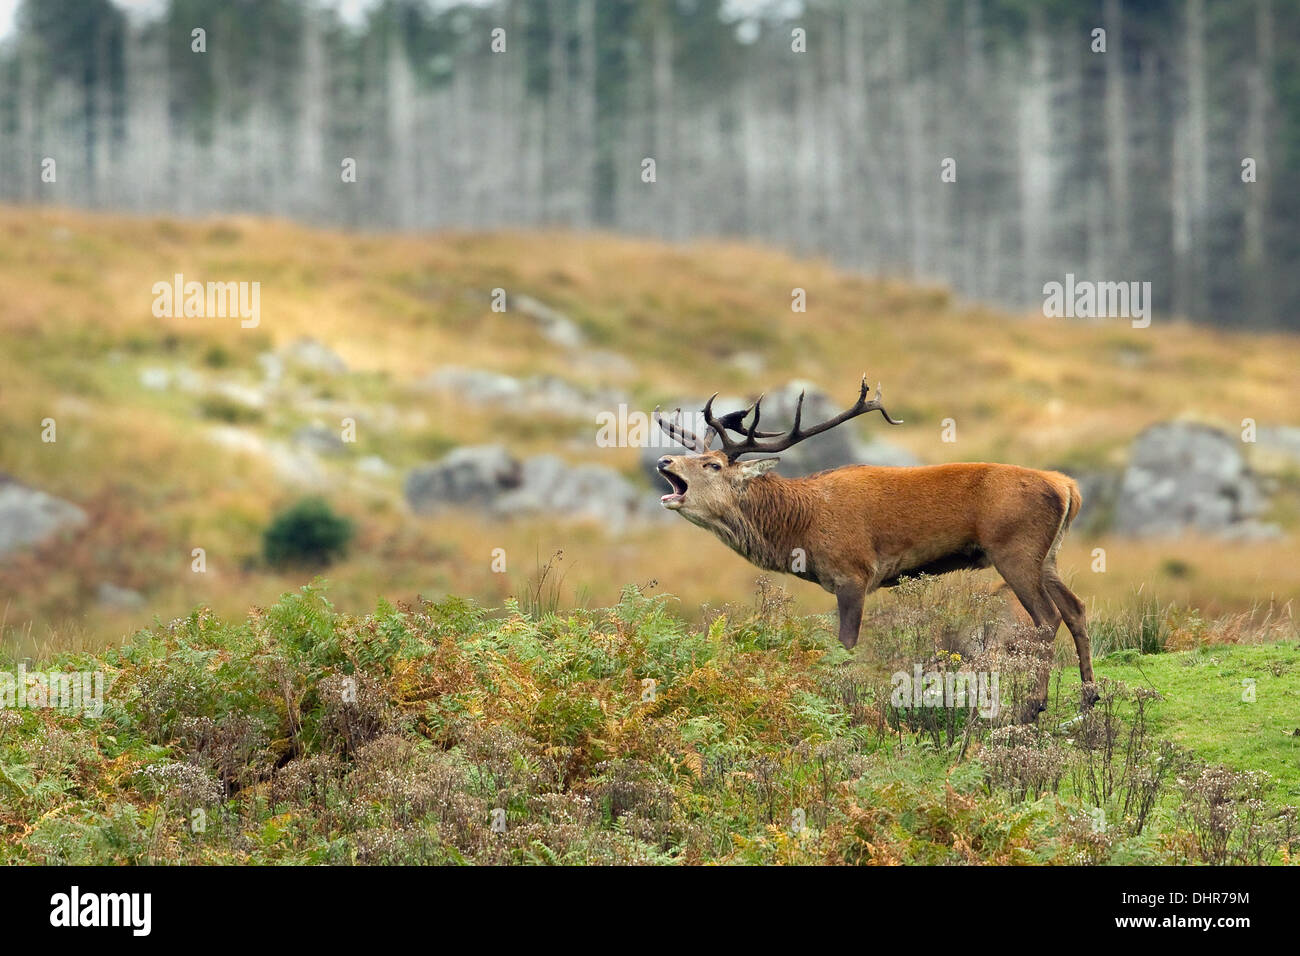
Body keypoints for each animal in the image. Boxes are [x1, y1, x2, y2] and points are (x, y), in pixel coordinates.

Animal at [653, 375, 1096, 720]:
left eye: (713, 465)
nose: (664, 461)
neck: (801, 527)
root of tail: (1067, 487)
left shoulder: (854, 572)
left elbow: (845, 645)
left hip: (1015, 550)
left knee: (1046, 618)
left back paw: (1034, 706)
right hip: (1047, 557)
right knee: (1075, 608)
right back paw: (1088, 697)